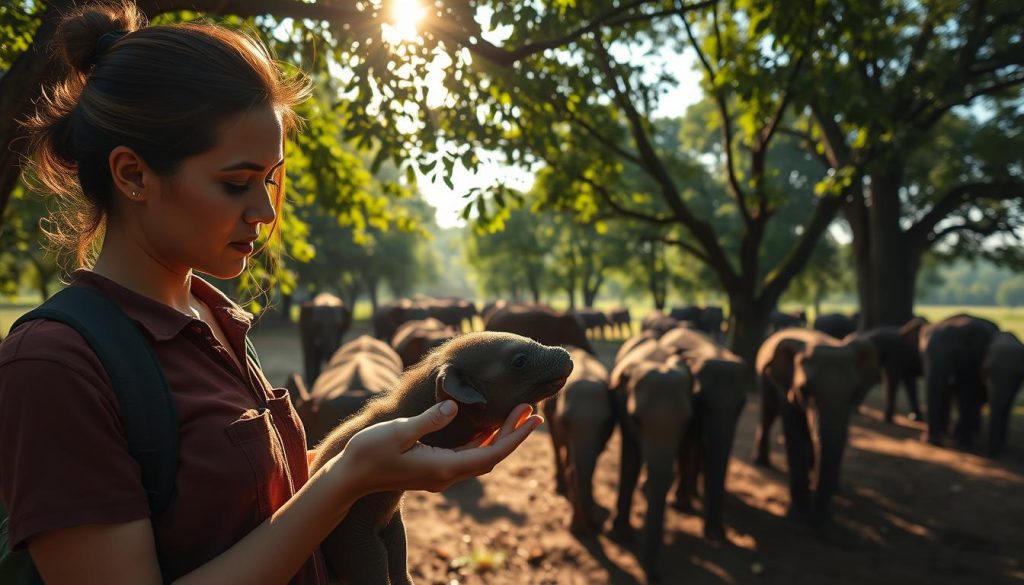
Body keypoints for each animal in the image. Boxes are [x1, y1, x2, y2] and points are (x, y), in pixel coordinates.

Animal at [609, 347, 693, 581]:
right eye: (636, 420)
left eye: (687, 420)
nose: (656, 576)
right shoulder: (623, 410)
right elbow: (630, 460)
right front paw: (621, 536)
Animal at [658, 328, 750, 541]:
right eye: (702, 400)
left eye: (742, 404)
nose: (719, 537)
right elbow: (686, 442)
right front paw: (679, 505)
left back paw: (694, 491)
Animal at [754, 329, 878, 528]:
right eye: (805, 391)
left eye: (854, 393)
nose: (817, 523)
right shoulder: (787, 388)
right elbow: (795, 436)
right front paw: (799, 515)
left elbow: (840, 436)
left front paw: (829, 500)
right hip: (765, 380)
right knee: (768, 415)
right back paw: (762, 462)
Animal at [921, 314, 1001, 447]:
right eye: (924, 356)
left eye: (954, 354)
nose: (928, 441)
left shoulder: (973, 359)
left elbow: (967, 392)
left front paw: (963, 444)